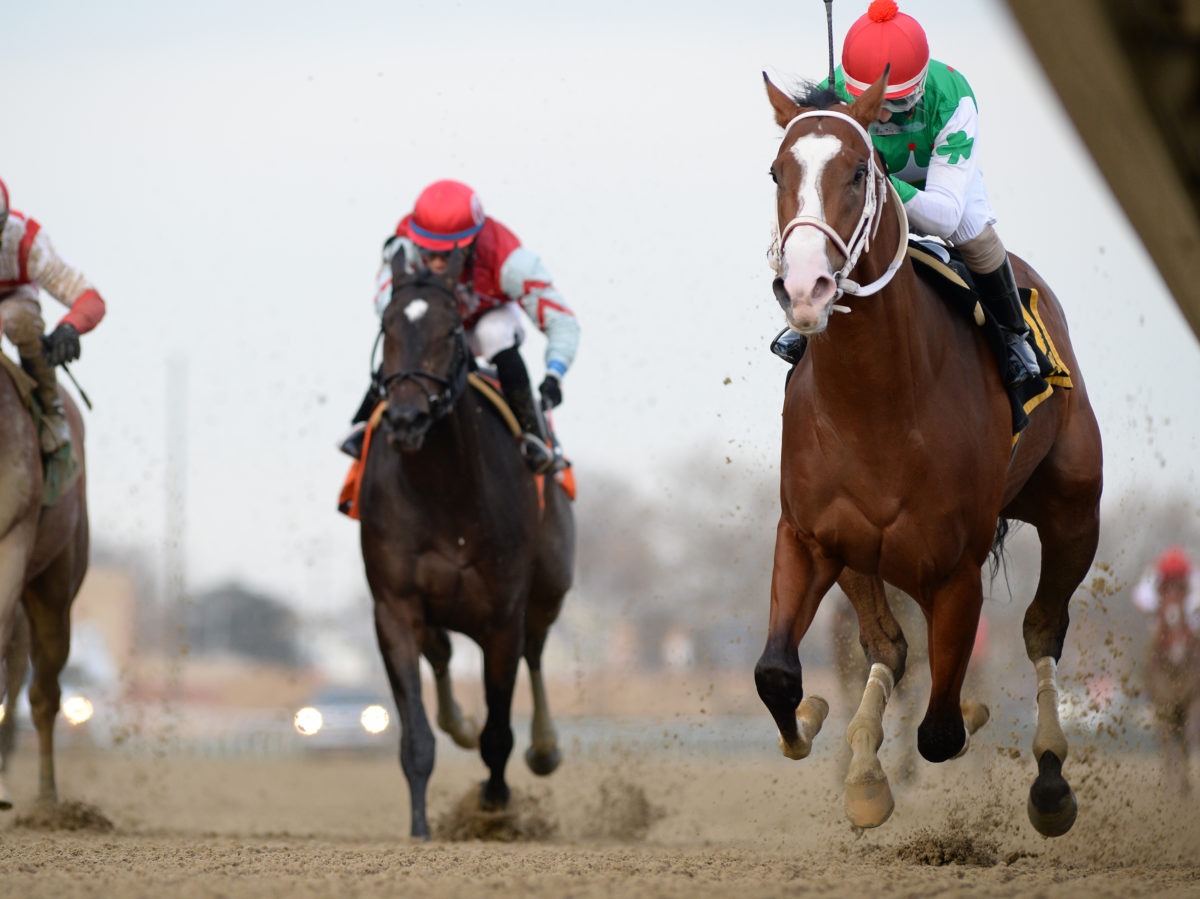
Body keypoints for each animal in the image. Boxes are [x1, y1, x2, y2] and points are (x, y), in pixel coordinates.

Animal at [358, 248, 575, 839]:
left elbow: (498, 732)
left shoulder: (503, 613)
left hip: (547, 591)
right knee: (441, 653)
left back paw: (545, 748)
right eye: (386, 326)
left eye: (451, 329)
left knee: (537, 652)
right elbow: (415, 735)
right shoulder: (394, 607)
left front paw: (494, 805)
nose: (406, 417)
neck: (443, 493)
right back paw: (458, 720)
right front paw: (419, 828)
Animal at [754, 71, 1103, 837]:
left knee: (1041, 630)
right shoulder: (809, 537)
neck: (876, 404)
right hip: (864, 555)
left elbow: (942, 731)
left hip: (1073, 514)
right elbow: (777, 675)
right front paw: (816, 726)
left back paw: (1050, 780)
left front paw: (967, 718)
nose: (804, 288)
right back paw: (863, 762)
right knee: (888, 646)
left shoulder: (955, 568)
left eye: (860, 171)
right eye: (777, 171)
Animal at [1143, 574, 1200, 794]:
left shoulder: (1191, 699)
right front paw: (1169, 784)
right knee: (1165, 738)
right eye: (1164, 598)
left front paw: (1186, 786)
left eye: (1181, 595)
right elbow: (1168, 738)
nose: (1172, 616)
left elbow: (1186, 738)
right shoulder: (1163, 699)